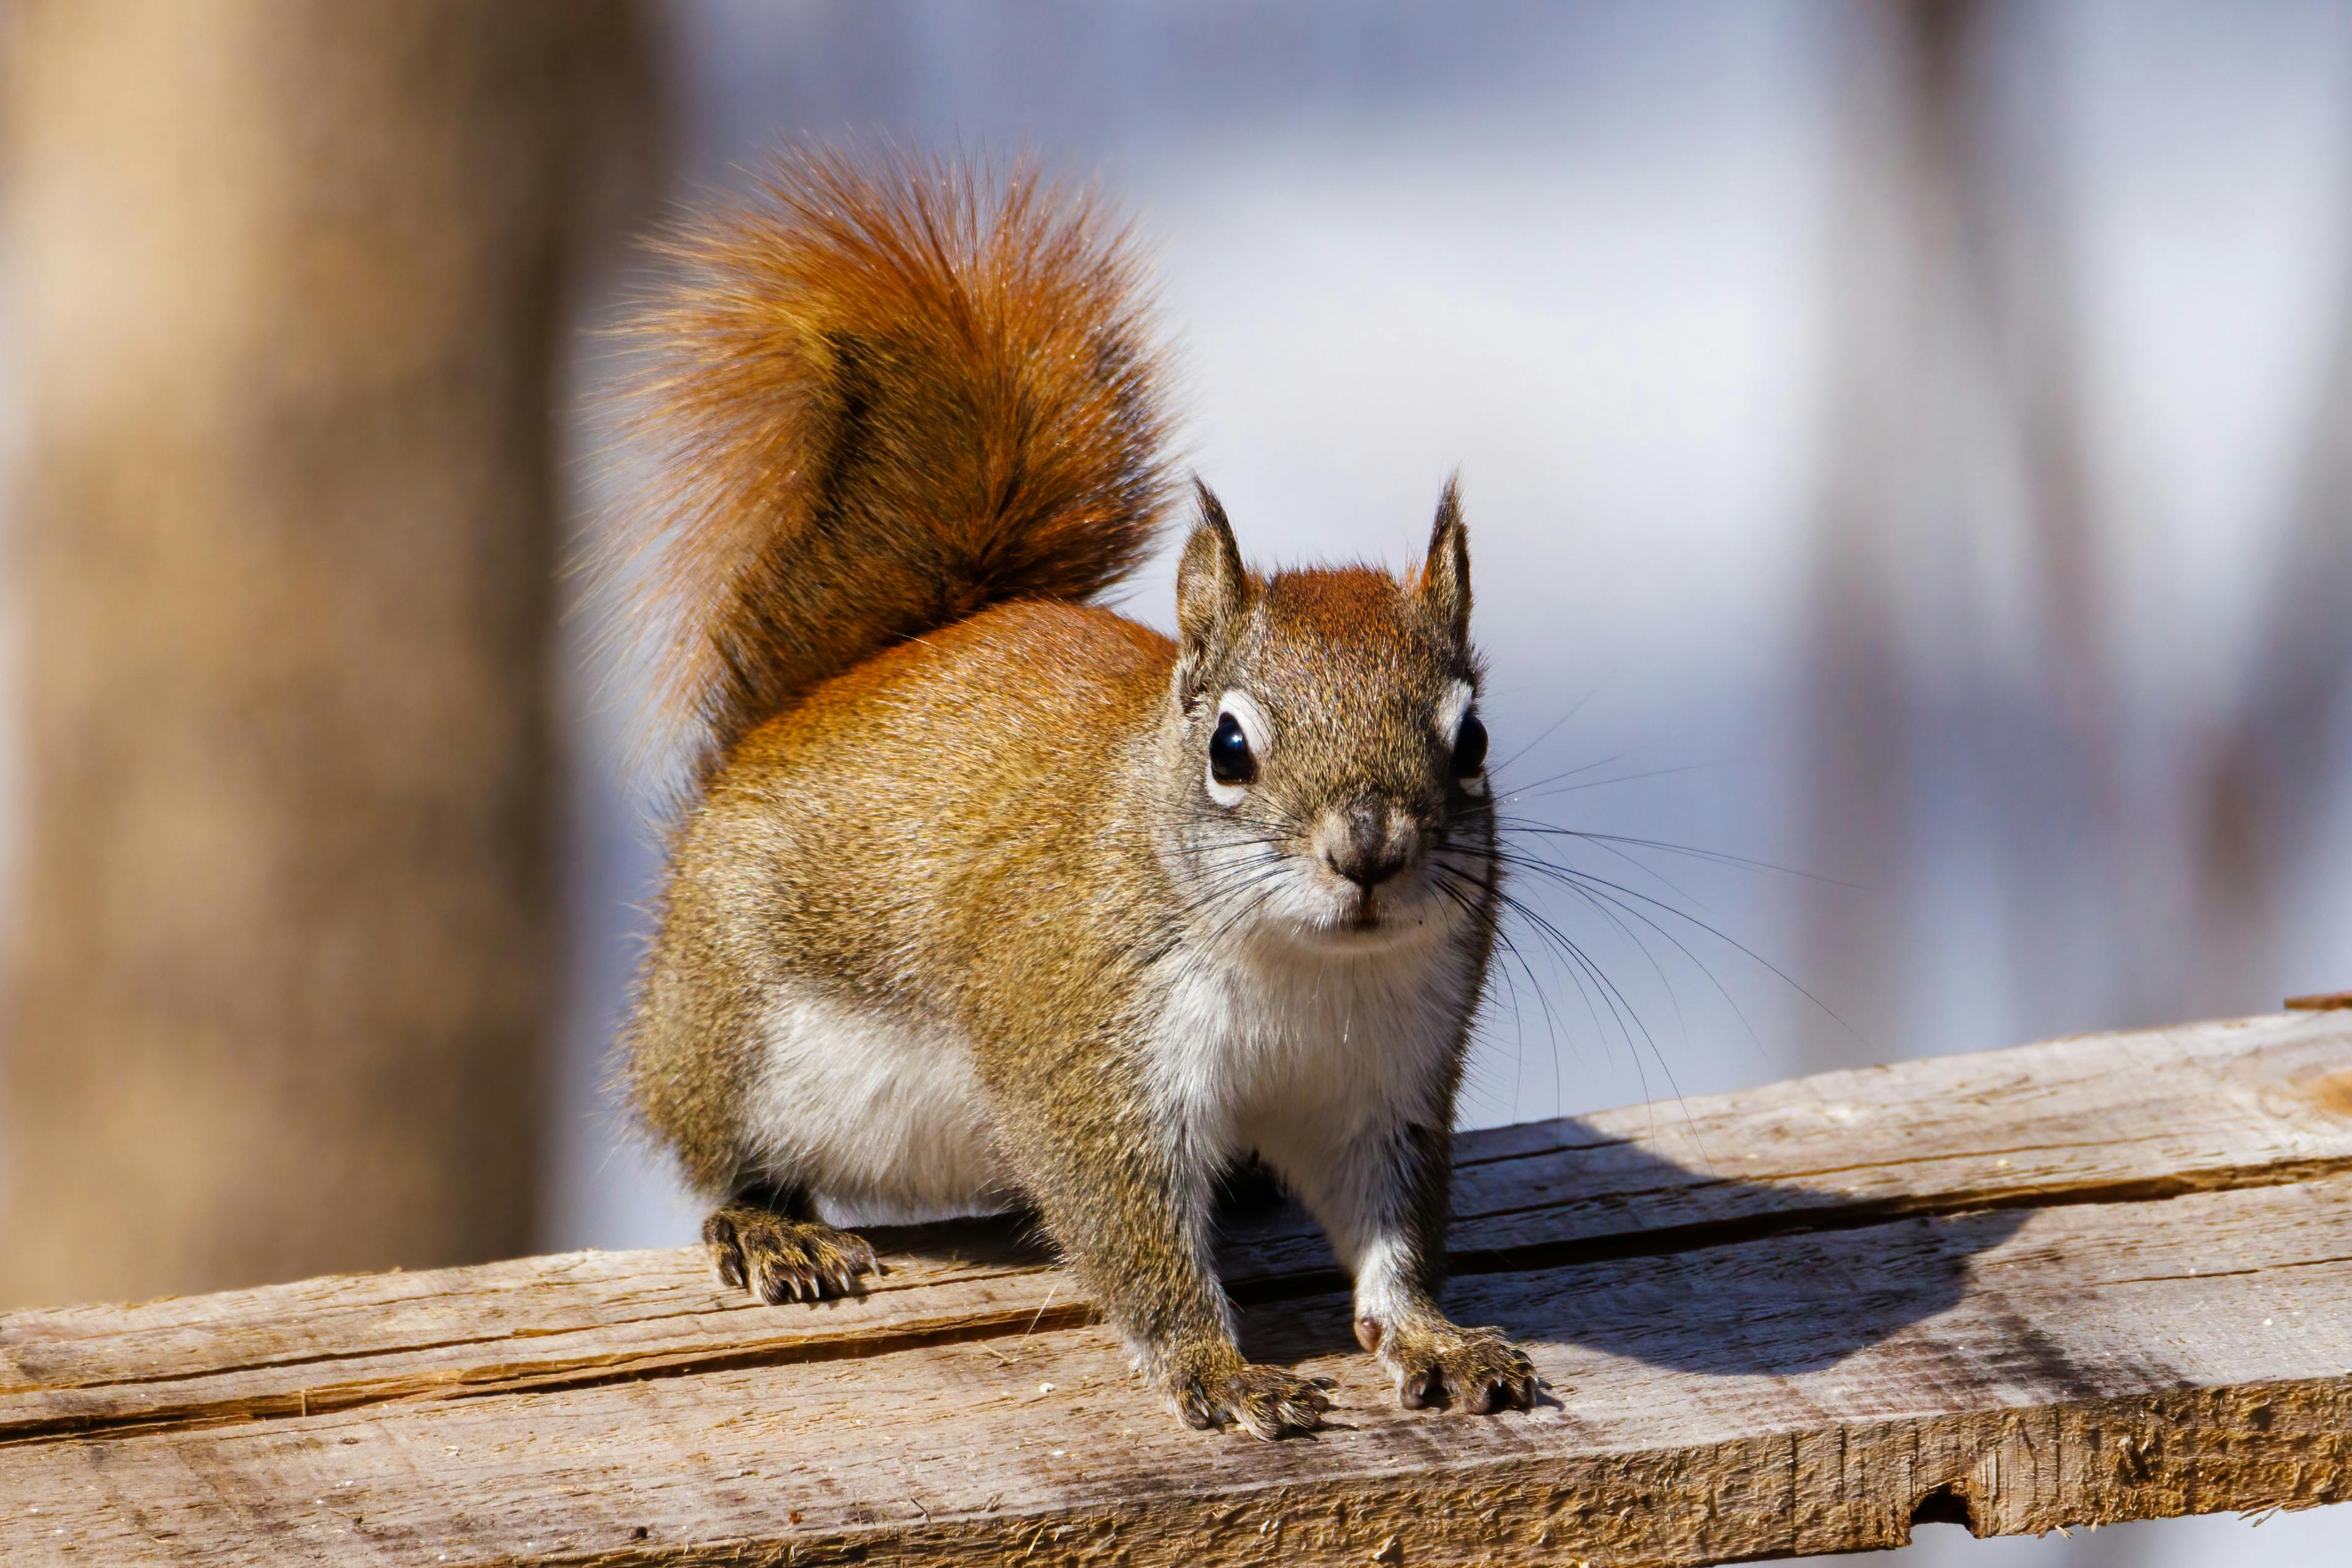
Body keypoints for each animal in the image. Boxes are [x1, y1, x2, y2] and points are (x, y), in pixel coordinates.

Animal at [610, 146, 1535, 1439]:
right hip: (733, 1033)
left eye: (1474, 740)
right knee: (715, 1149)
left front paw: (1437, 1337)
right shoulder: (1083, 1057)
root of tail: (785, 725)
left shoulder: (1384, 1081)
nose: (1367, 852)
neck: (1303, 977)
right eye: (1230, 749)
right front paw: (1218, 1369)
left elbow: (1392, 1234)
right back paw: (772, 1227)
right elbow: (1131, 1234)